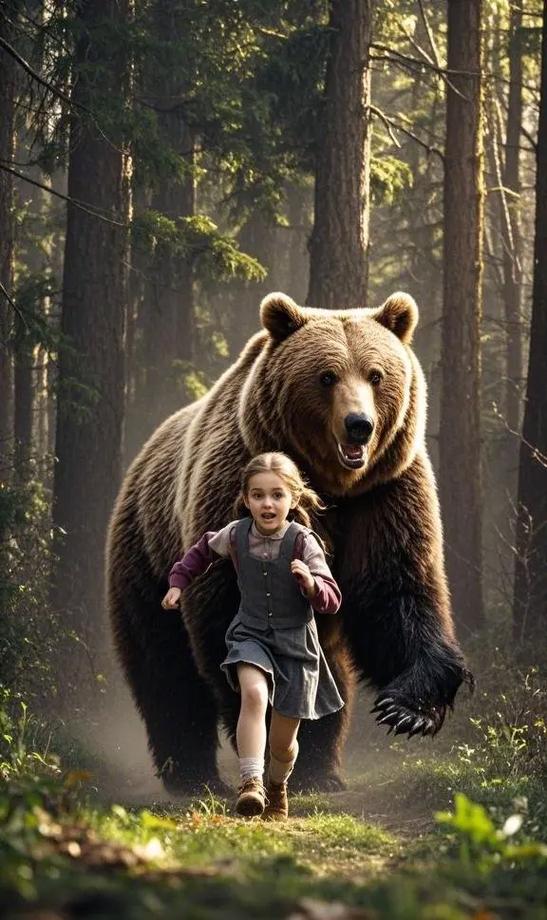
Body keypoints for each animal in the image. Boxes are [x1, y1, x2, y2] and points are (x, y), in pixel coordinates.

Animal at [107, 291, 470, 793]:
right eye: (327, 375)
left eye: (376, 374)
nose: (359, 424)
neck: (330, 483)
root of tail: (141, 457)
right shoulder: (233, 483)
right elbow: (227, 615)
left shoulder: (383, 494)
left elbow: (398, 591)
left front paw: (407, 710)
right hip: (145, 553)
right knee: (165, 668)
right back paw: (192, 773)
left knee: (327, 672)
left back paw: (319, 770)